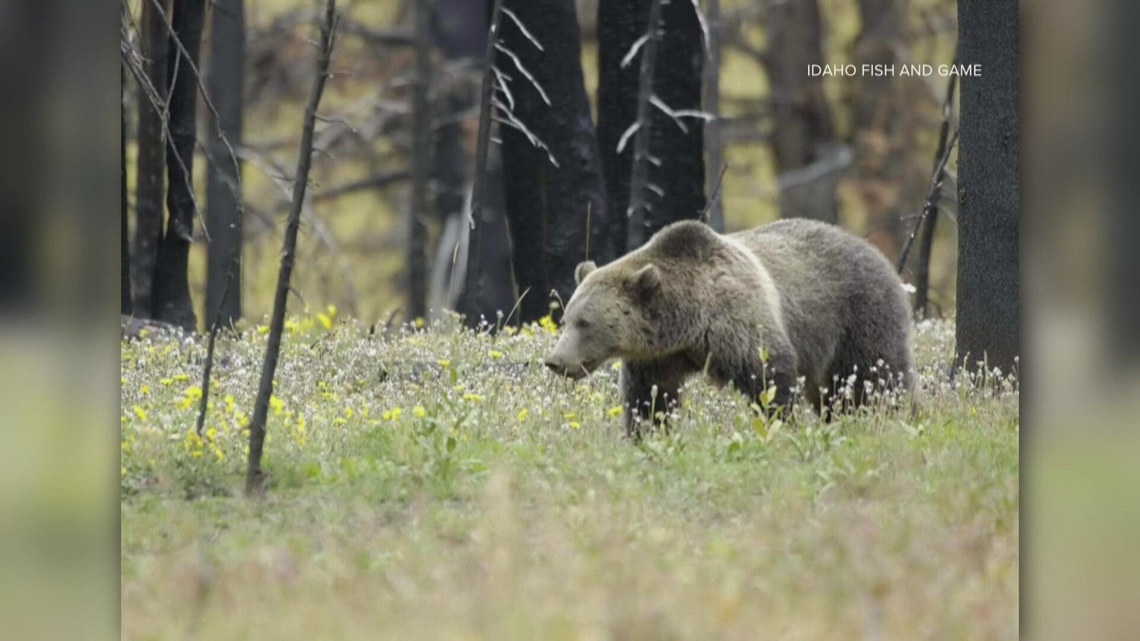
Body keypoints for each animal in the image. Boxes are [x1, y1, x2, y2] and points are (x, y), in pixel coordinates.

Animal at [543, 218, 915, 438]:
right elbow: (649, 398)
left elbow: (770, 377)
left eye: (585, 322)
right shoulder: (658, 357)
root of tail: (876, 252)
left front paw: (782, 426)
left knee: (876, 377)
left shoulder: (737, 323)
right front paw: (647, 434)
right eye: (566, 319)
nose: (555, 361)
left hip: (858, 315)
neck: (687, 323)